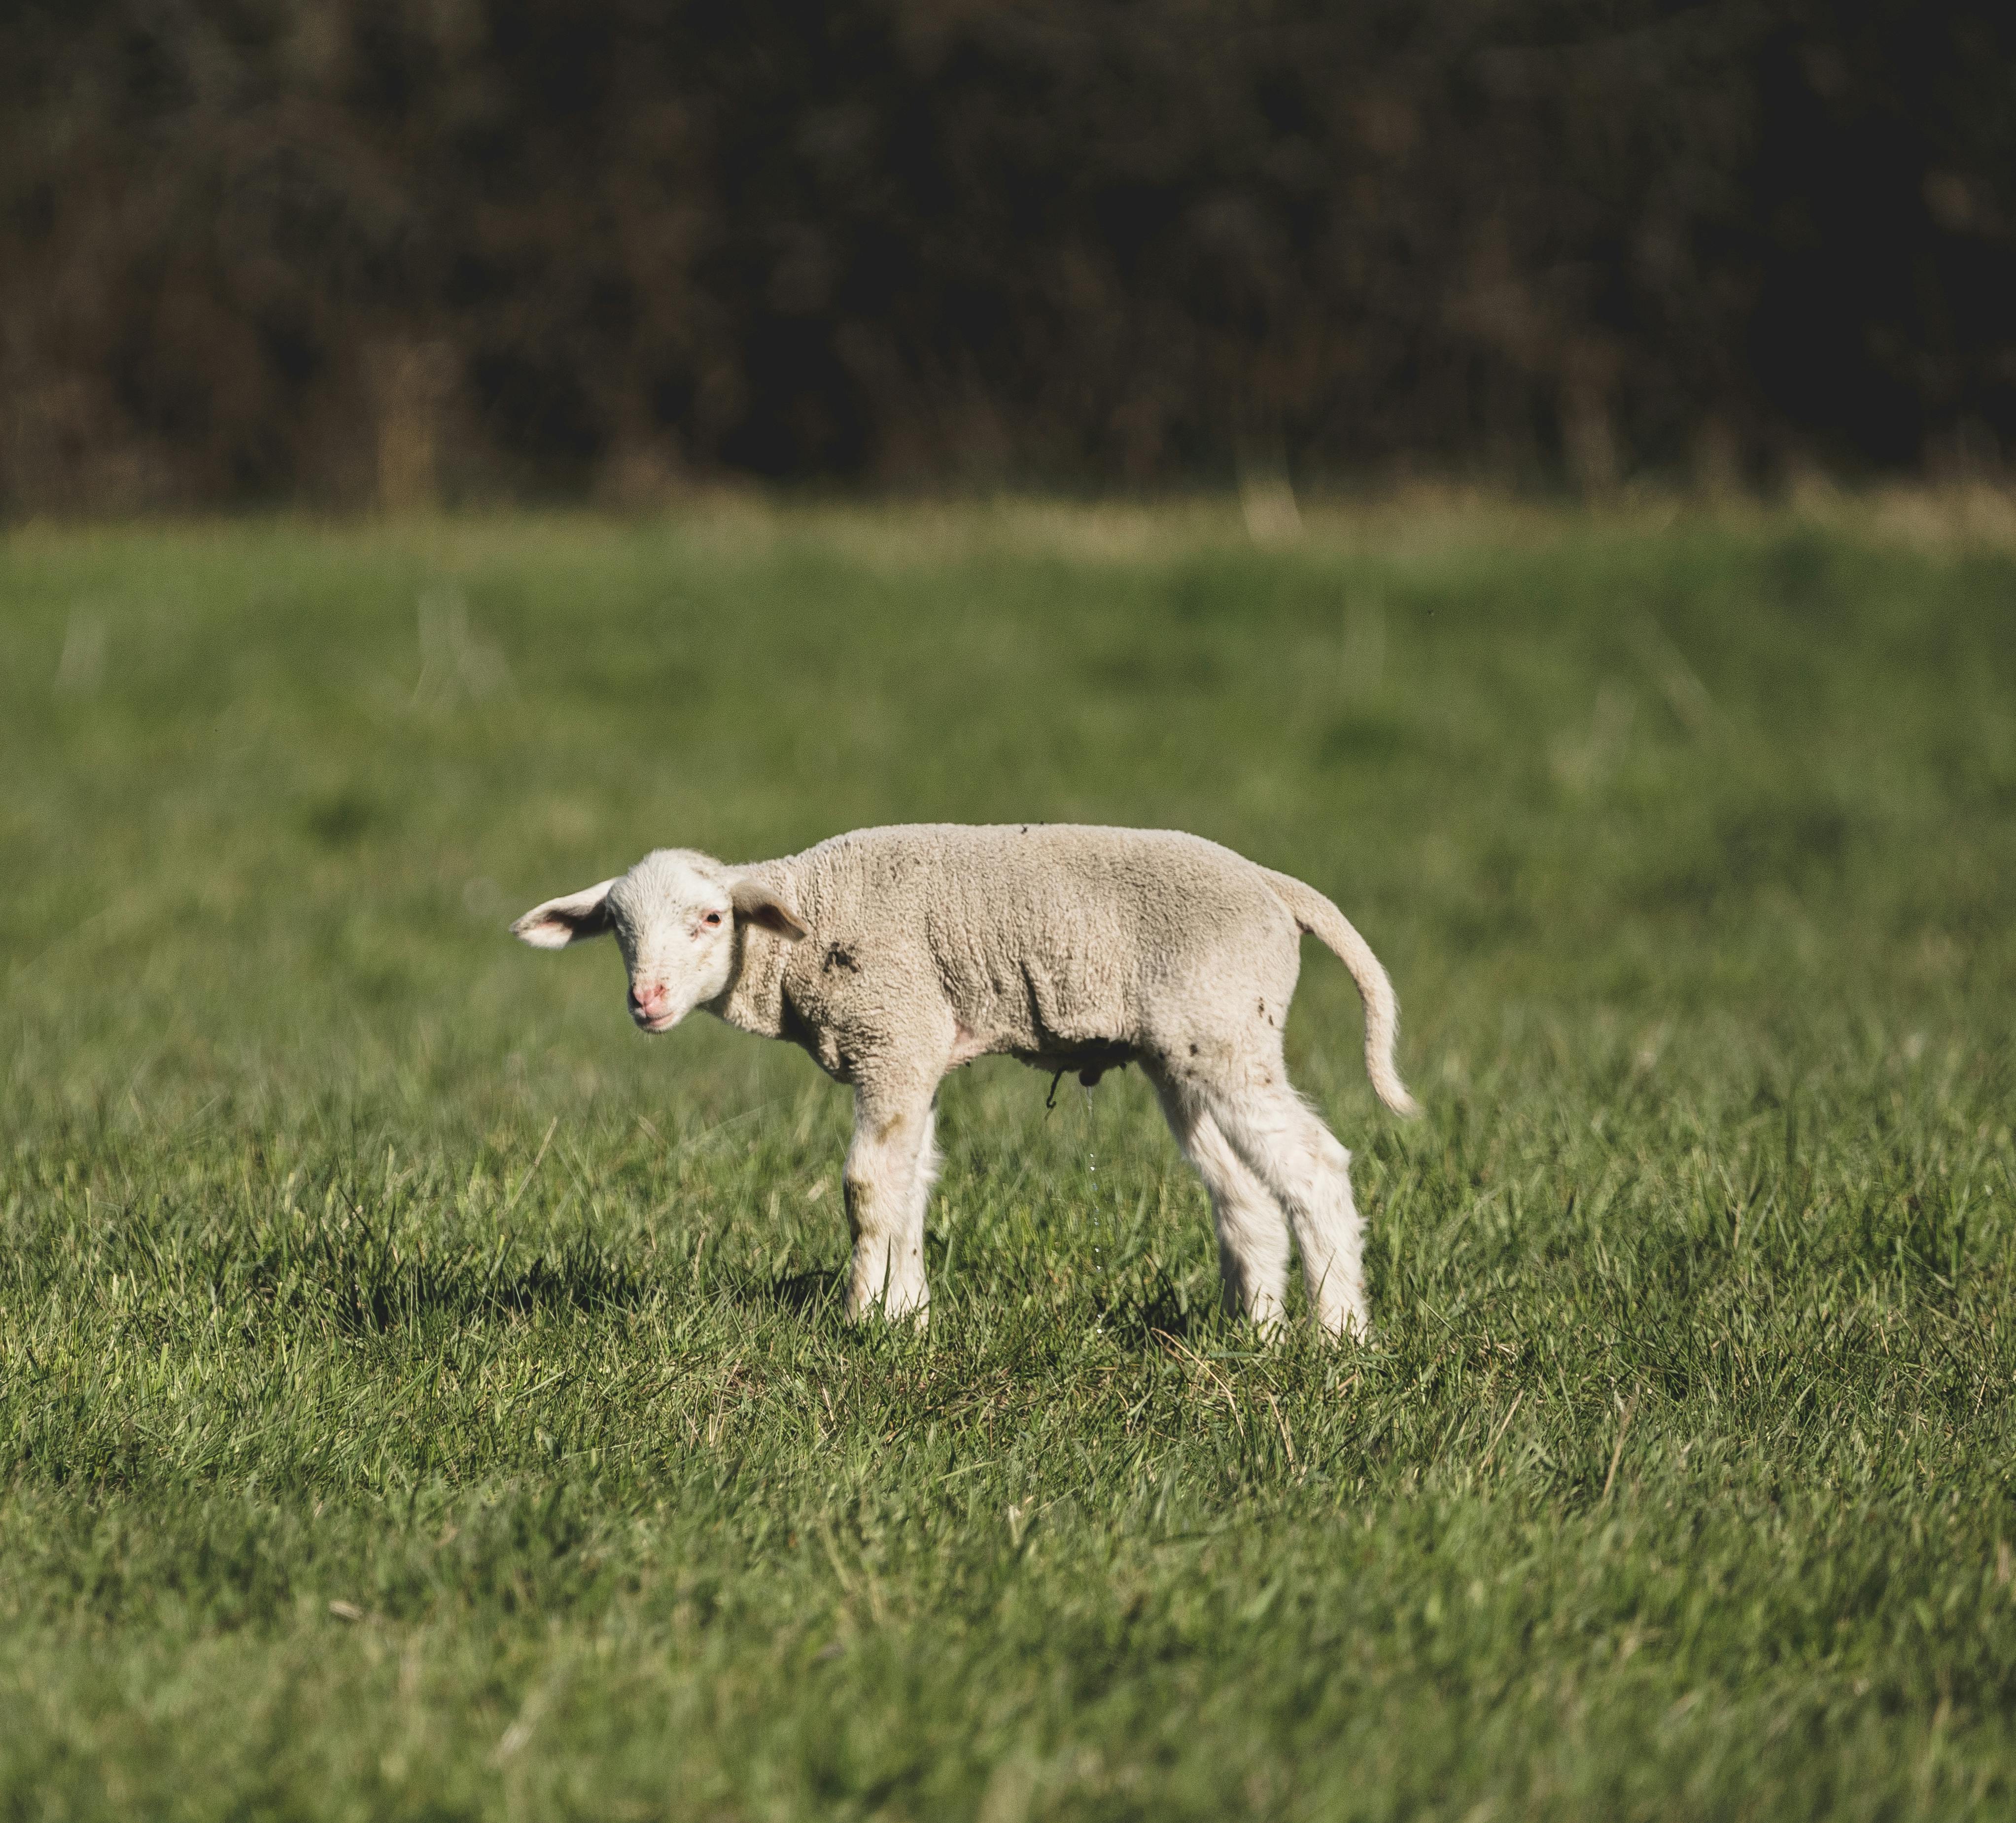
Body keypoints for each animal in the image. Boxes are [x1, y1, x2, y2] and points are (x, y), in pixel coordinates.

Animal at [512, 824, 1418, 1337]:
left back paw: (1339, 1337)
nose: (648, 1000)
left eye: (711, 919)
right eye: (618, 928)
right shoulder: (915, 1048)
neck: (795, 934)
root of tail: (1275, 885)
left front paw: (863, 1320)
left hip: (1228, 1027)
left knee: (1315, 1166)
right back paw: (1254, 1337)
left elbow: (867, 1186)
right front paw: (908, 1314)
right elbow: (911, 1184)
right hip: (1190, 1047)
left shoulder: (892, 1032)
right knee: (1243, 1193)